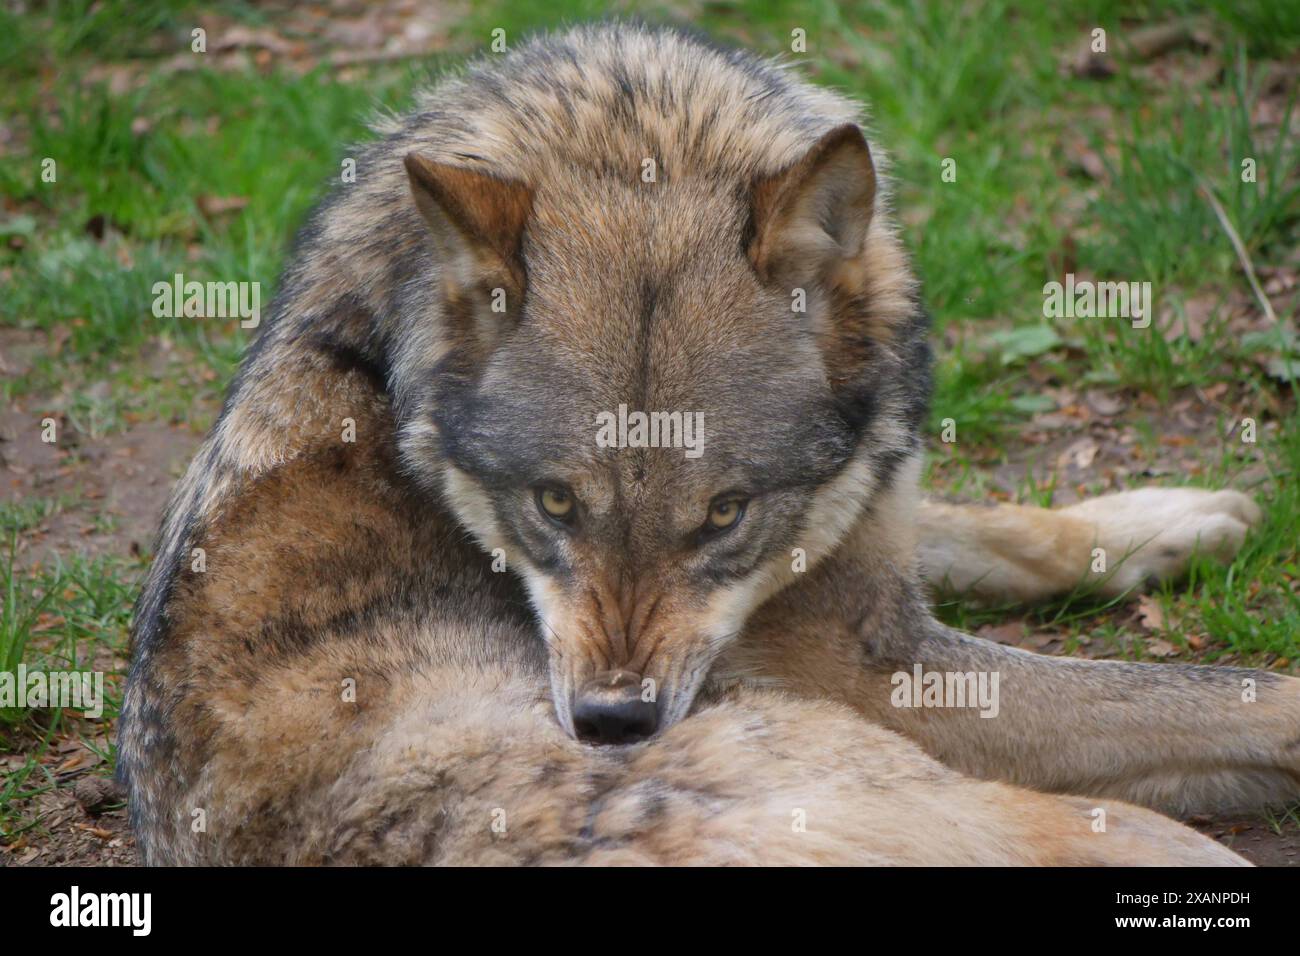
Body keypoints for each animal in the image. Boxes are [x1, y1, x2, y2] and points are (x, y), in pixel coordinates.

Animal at [118, 23, 1298, 865]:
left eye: (725, 513)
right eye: (552, 504)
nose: (611, 722)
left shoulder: (852, 533)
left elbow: (987, 525)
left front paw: (1170, 518)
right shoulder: (876, 665)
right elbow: (1209, 694)